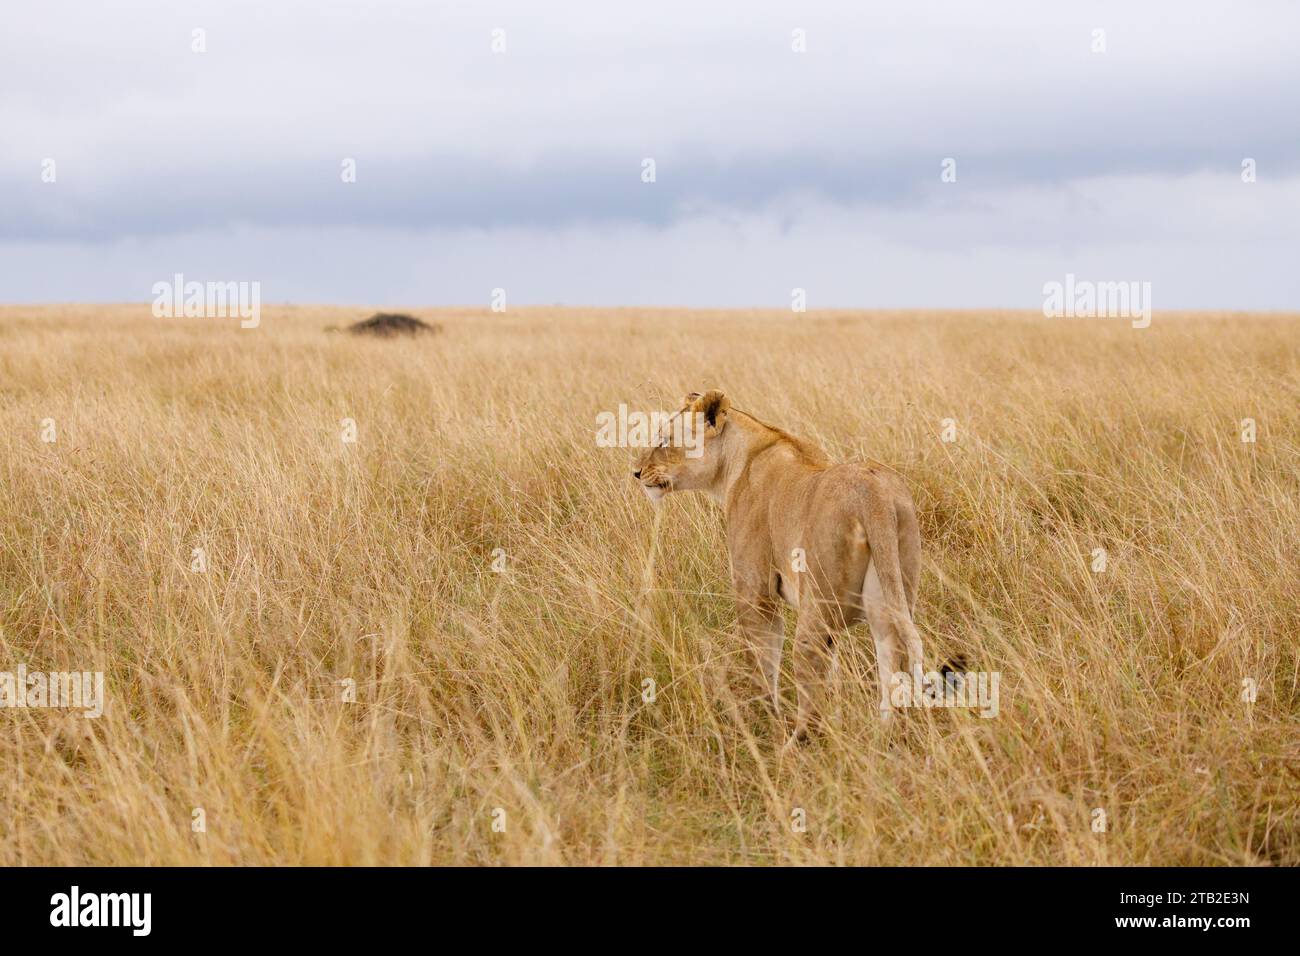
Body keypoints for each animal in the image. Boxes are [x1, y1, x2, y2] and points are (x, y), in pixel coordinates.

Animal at [632, 389, 925, 744]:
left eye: (664, 440)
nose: (637, 472)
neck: (736, 461)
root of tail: (873, 495)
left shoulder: (756, 592)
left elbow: (762, 660)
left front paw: (764, 720)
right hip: (892, 593)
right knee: (892, 658)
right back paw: (886, 735)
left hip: (816, 608)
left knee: (811, 679)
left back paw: (796, 742)